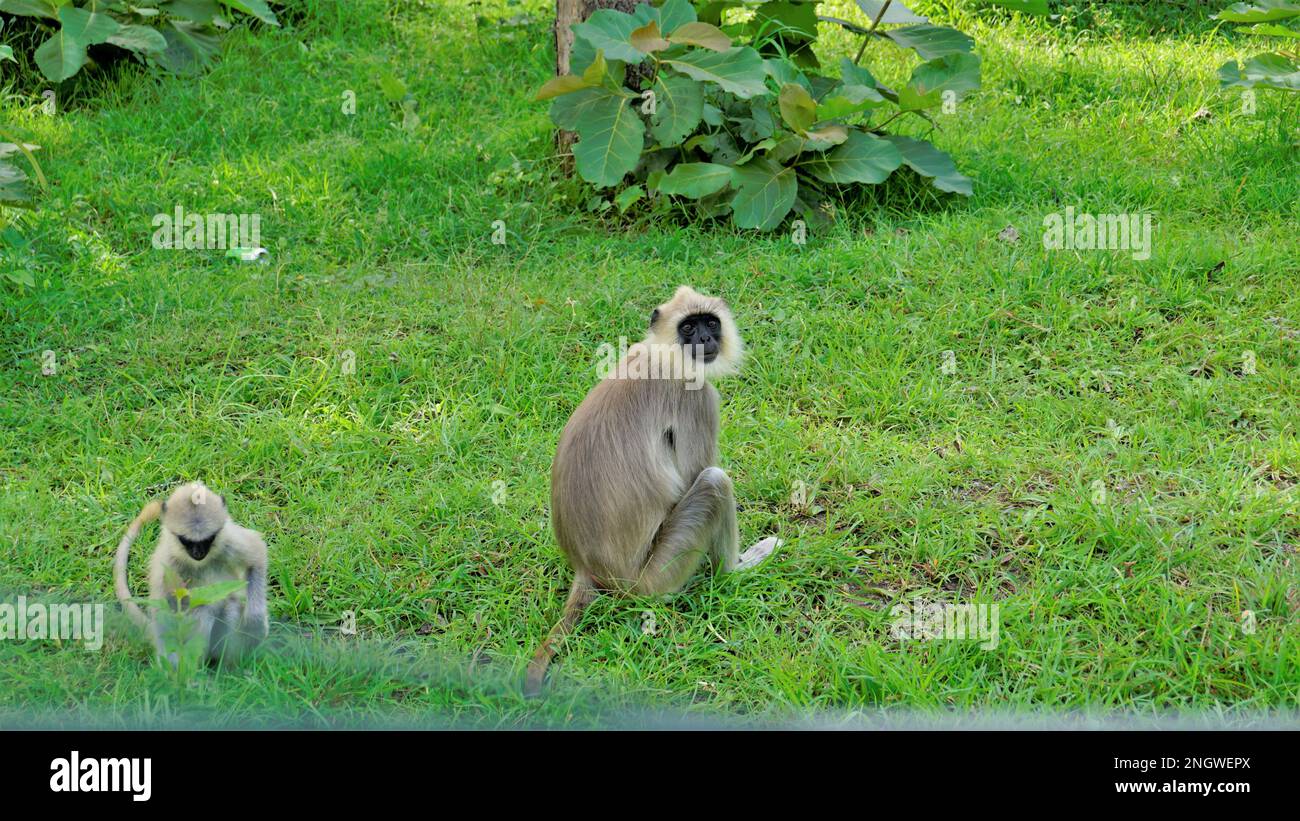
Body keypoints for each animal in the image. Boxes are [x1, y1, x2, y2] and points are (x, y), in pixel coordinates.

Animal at [114, 481, 269, 666]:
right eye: (187, 541)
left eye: (208, 539)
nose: (198, 553)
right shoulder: (168, 562)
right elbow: (163, 606)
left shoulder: (228, 540)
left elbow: (257, 557)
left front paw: (255, 621)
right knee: (202, 612)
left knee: (228, 606)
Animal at [526, 285, 780, 695]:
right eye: (688, 328)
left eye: (710, 323)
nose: (705, 340)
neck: (662, 355)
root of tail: (588, 568)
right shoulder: (697, 396)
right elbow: (694, 474)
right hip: (655, 578)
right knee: (713, 482)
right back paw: (737, 571)